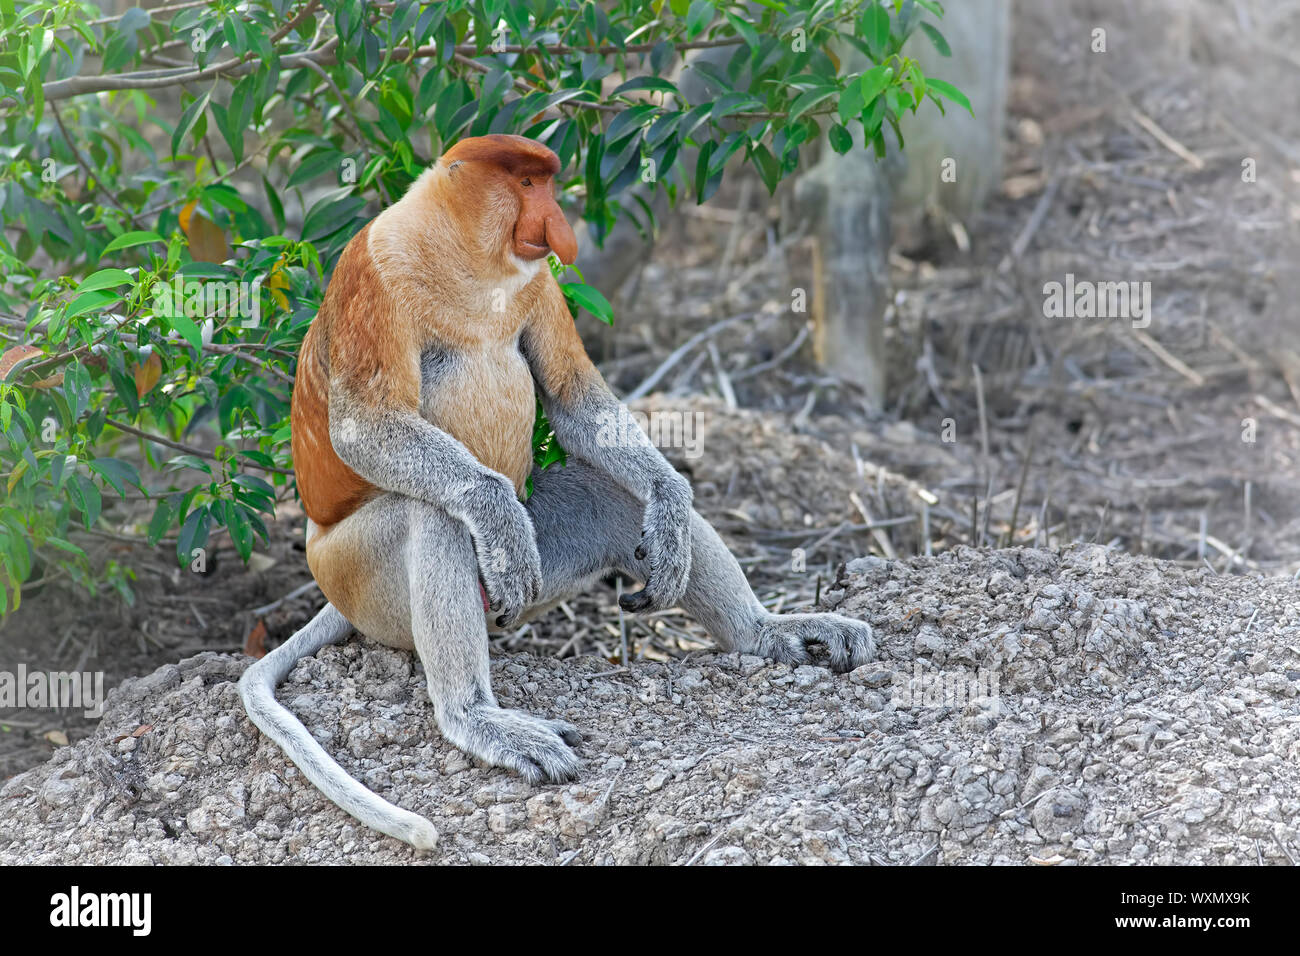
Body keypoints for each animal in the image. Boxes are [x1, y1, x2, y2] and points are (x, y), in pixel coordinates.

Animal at [238, 134, 875, 850]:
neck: (466, 258)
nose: (557, 225)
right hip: (358, 577)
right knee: (430, 516)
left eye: (546, 181)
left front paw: (671, 503)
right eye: (526, 183)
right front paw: (492, 510)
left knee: (610, 497)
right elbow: (363, 427)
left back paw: (770, 632)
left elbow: (575, 401)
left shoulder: (538, 282)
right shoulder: (372, 273)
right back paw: (479, 718)